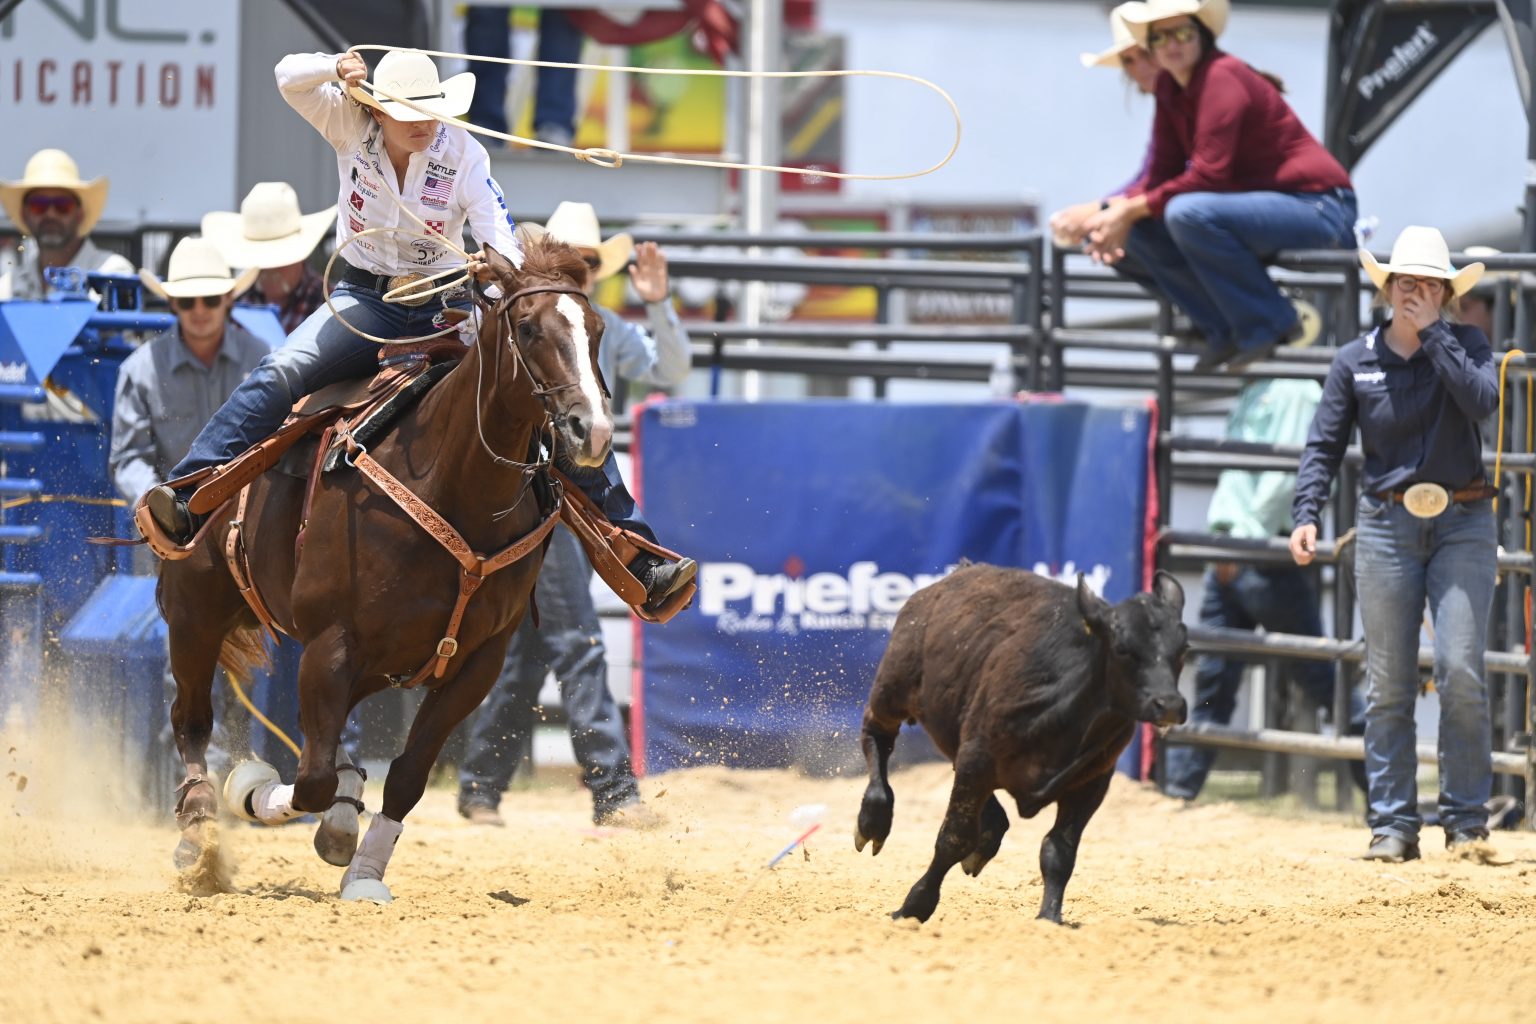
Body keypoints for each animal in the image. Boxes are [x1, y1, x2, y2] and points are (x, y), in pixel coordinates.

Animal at [157, 237, 610, 901]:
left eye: (596, 330)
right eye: (527, 328)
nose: (592, 430)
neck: (454, 486)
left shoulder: (477, 662)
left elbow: (406, 776)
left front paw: (364, 870)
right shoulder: (330, 644)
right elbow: (310, 778)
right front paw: (254, 791)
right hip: (195, 613)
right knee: (191, 720)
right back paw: (198, 838)